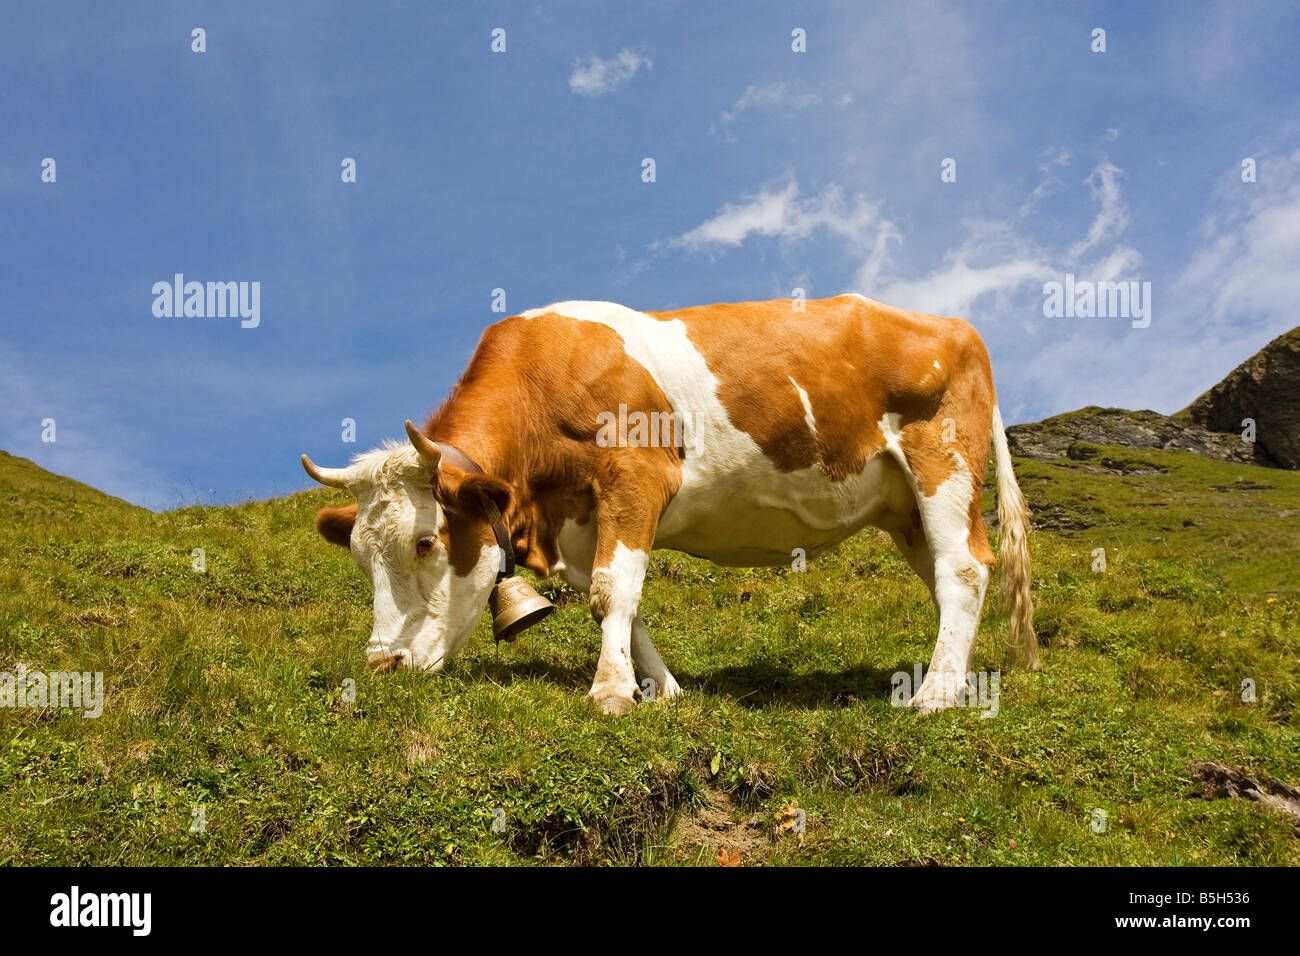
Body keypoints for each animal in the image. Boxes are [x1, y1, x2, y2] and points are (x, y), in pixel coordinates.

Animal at [301, 295, 1037, 714]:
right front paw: (655, 687)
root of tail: (952, 323)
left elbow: (612, 588)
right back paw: (954, 679)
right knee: (949, 579)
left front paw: (608, 692)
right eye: (361, 559)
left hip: (944, 462)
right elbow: (618, 598)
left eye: (425, 542)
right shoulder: (581, 516)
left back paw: (935, 695)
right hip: (904, 507)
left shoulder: (636, 477)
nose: (381, 665)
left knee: (965, 569)